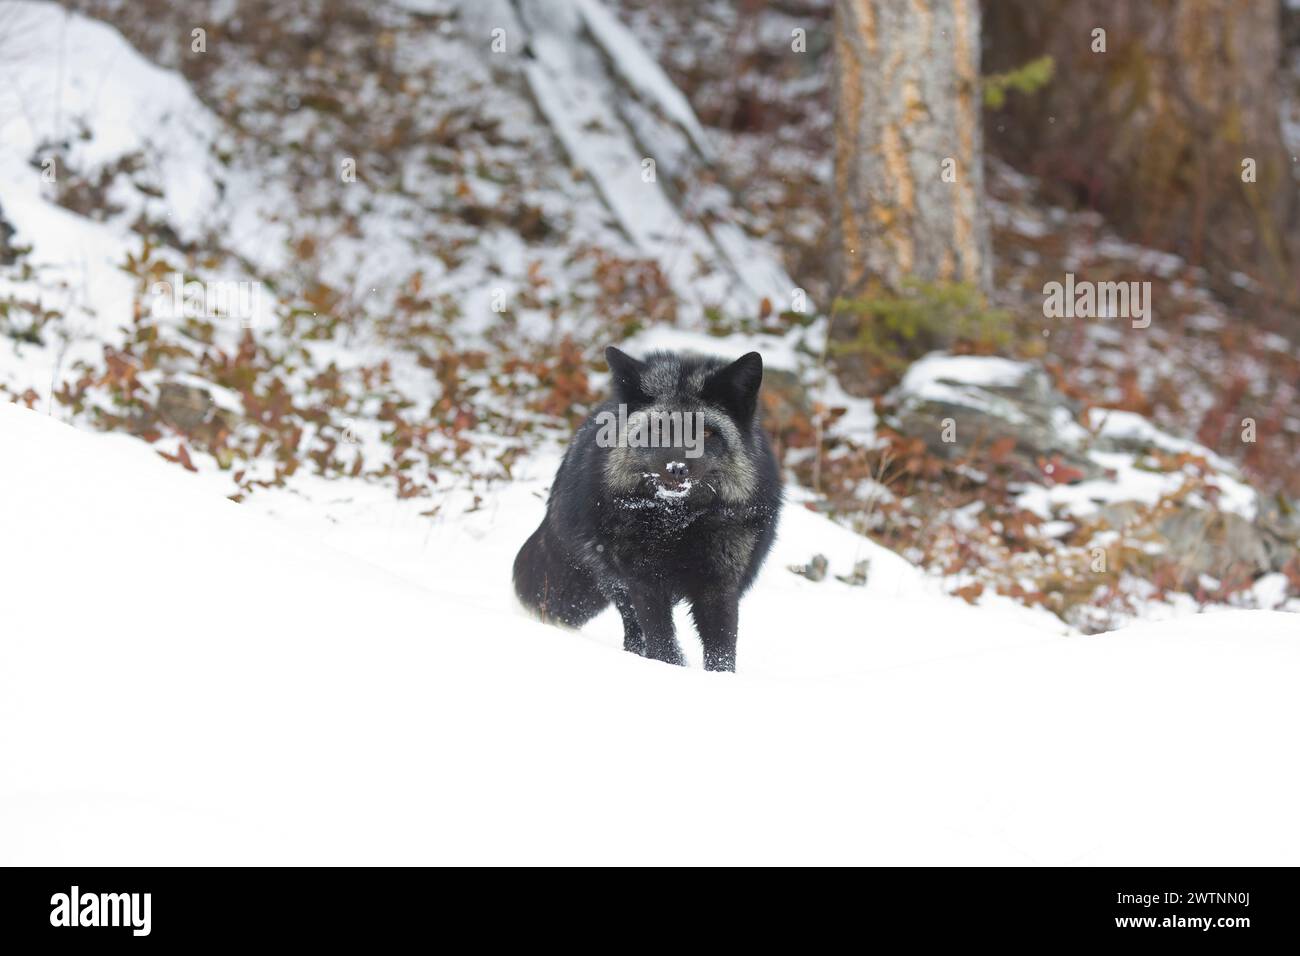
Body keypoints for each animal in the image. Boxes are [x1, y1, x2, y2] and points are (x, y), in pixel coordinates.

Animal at [513, 346, 783, 671]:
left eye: (706, 433)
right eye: (658, 429)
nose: (677, 468)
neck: (679, 524)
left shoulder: (720, 585)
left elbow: (721, 648)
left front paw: (720, 677)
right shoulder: (644, 582)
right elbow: (661, 640)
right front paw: (668, 668)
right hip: (614, 580)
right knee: (633, 629)